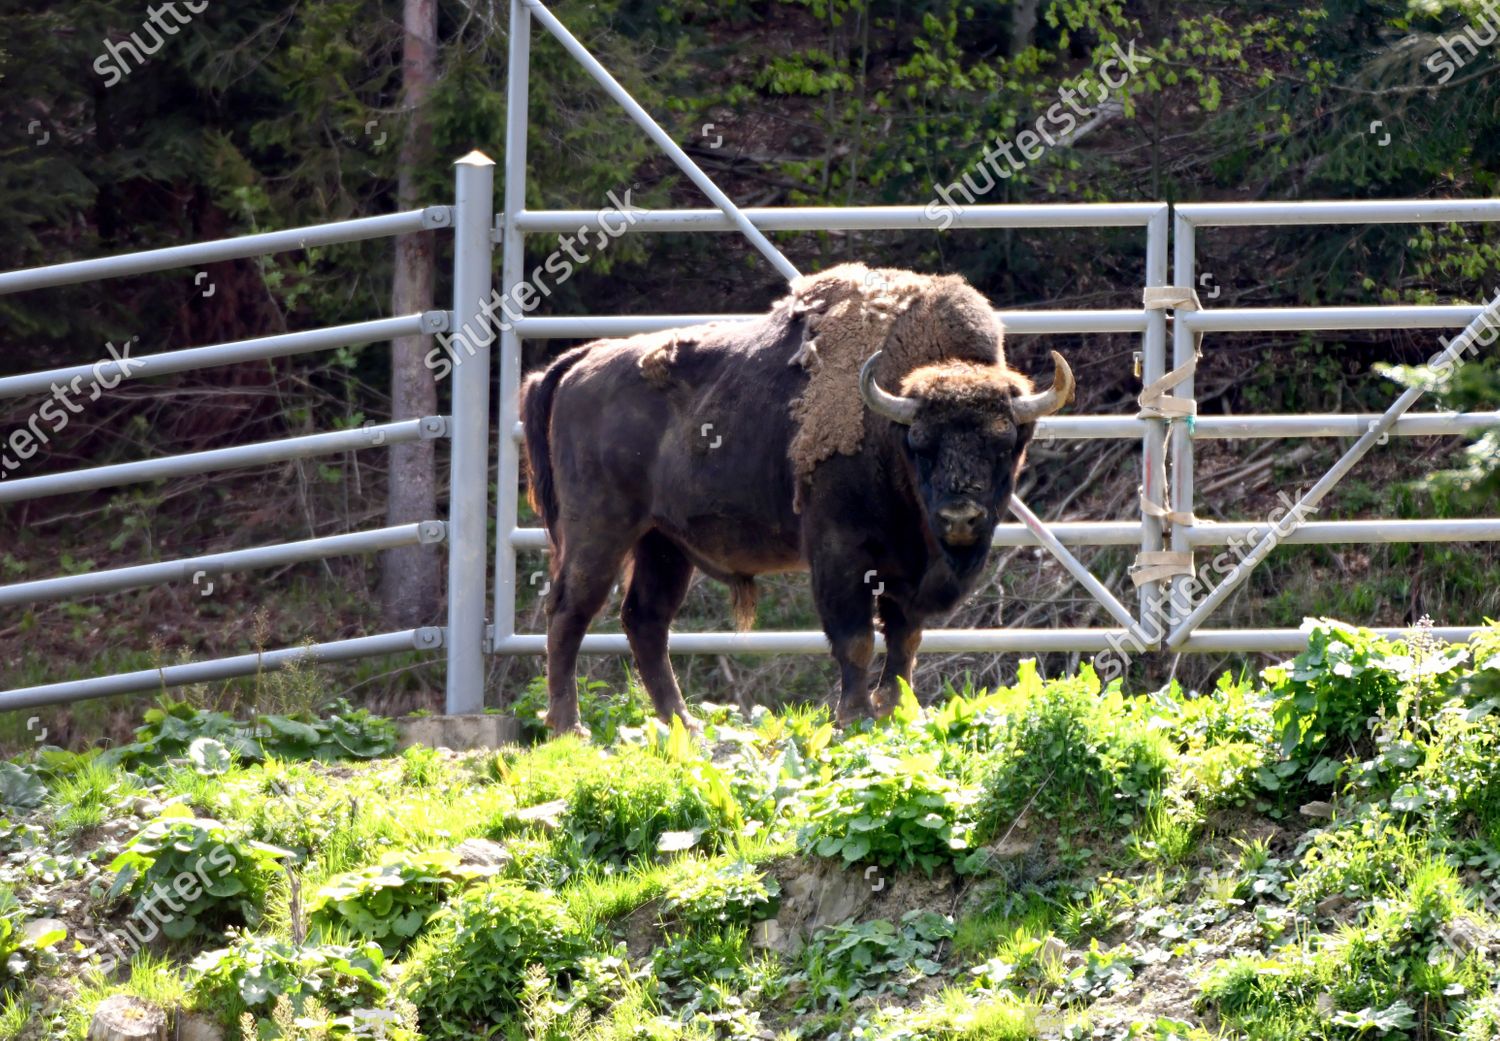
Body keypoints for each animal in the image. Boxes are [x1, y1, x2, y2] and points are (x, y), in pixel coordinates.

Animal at [520, 265, 1073, 737]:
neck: (886, 433)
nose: (960, 517)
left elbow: (904, 640)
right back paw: (569, 726)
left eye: (1005, 442)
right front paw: (855, 715)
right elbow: (856, 638)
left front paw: (896, 709)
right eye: (921, 442)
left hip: (663, 544)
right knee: (570, 610)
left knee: (645, 620)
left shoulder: (908, 569)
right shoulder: (839, 552)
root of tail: (579, 362)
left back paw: (685, 723)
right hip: (600, 531)